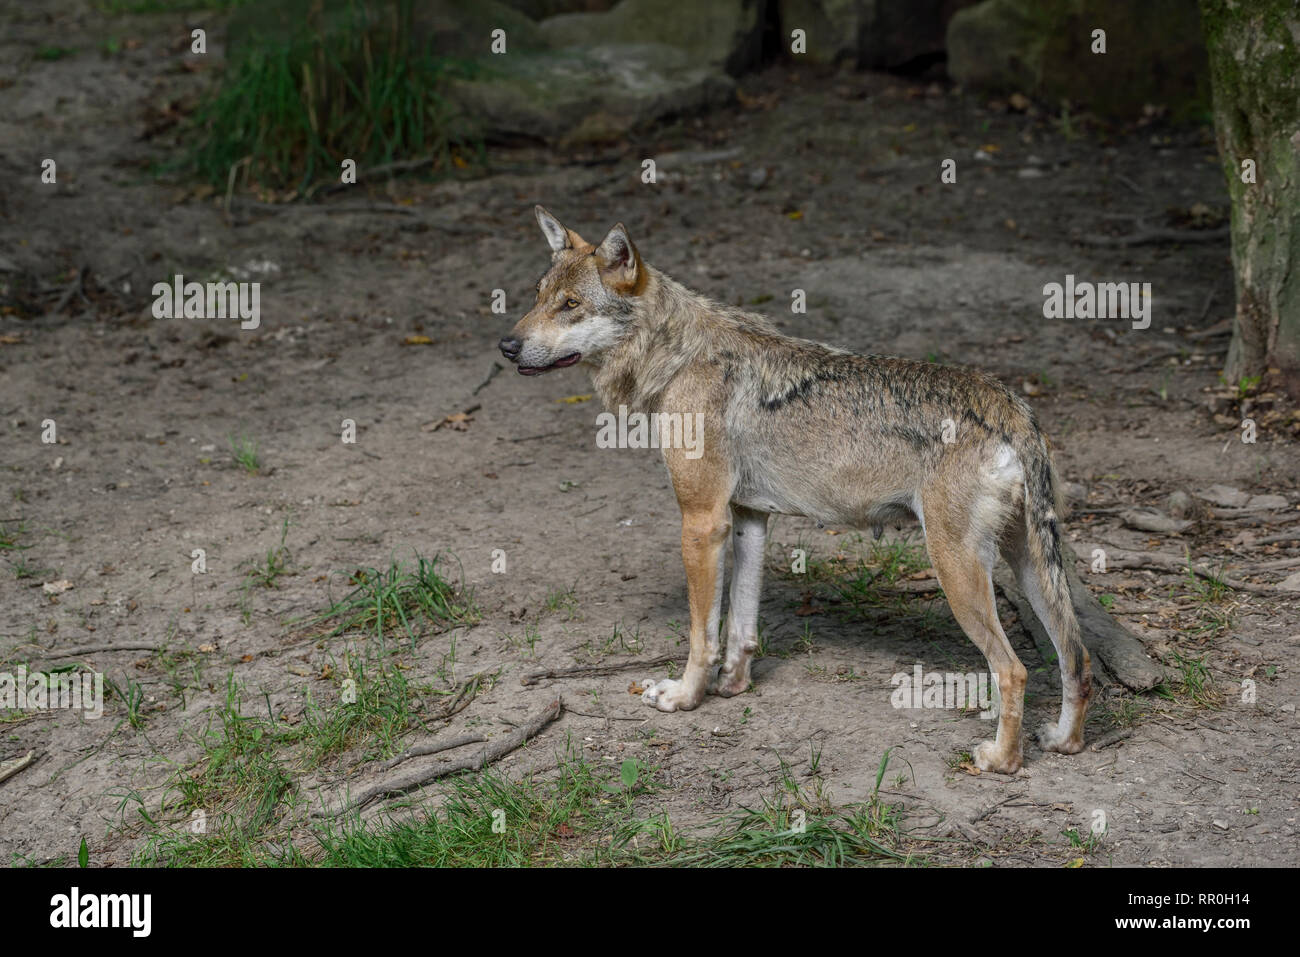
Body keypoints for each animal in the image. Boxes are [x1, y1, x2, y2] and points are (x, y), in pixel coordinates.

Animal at [499, 206, 1091, 773]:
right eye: (537, 296)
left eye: (571, 305)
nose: (506, 345)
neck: (678, 357)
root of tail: (1011, 408)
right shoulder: (747, 518)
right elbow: (739, 627)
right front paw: (733, 687)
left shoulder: (701, 521)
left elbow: (701, 635)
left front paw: (685, 696)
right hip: (1030, 567)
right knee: (1076, 658)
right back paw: (1064, 742)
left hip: (958, 570)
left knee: (1014, 670)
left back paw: (1001, 762)